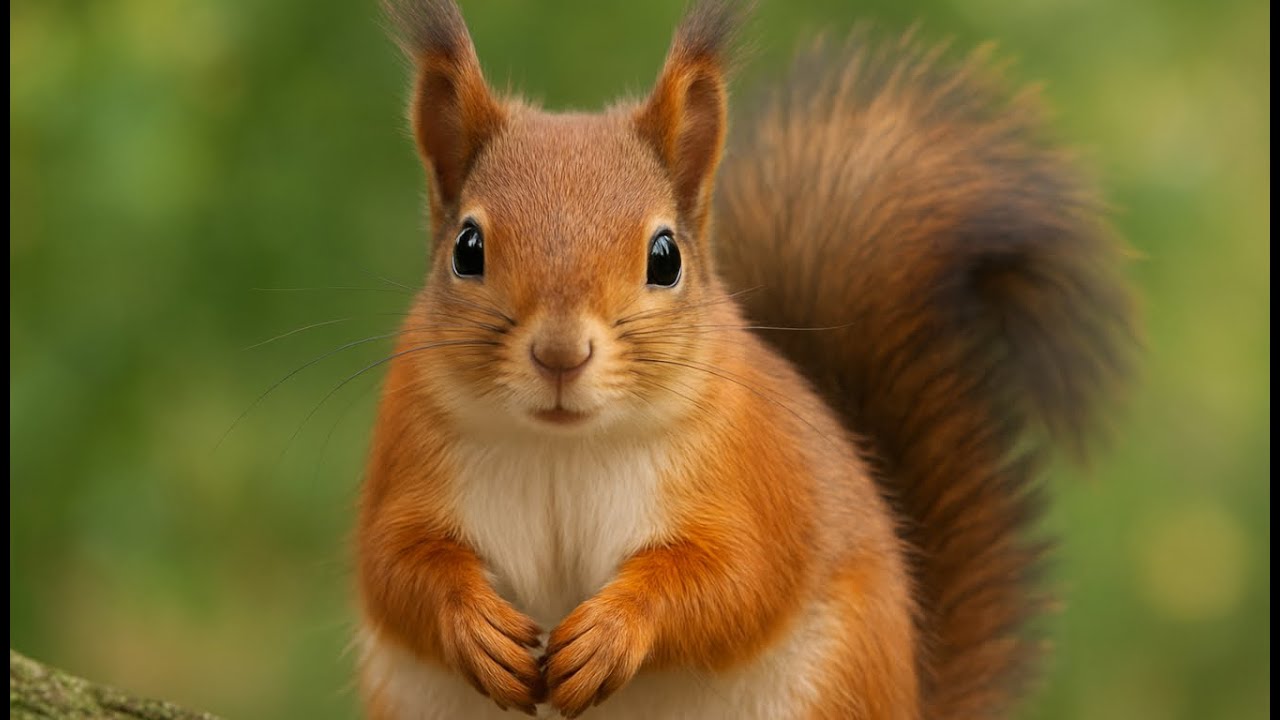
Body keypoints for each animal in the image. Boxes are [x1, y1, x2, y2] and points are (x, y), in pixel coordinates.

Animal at [355, 1, 1135, 719]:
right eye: (468, 248)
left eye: (665, 257)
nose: (560, 353)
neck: (563, 447)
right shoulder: (409, 457)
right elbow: (396, 567)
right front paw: (475, 626)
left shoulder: (753, 474)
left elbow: (735, 581)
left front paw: (611, 633)